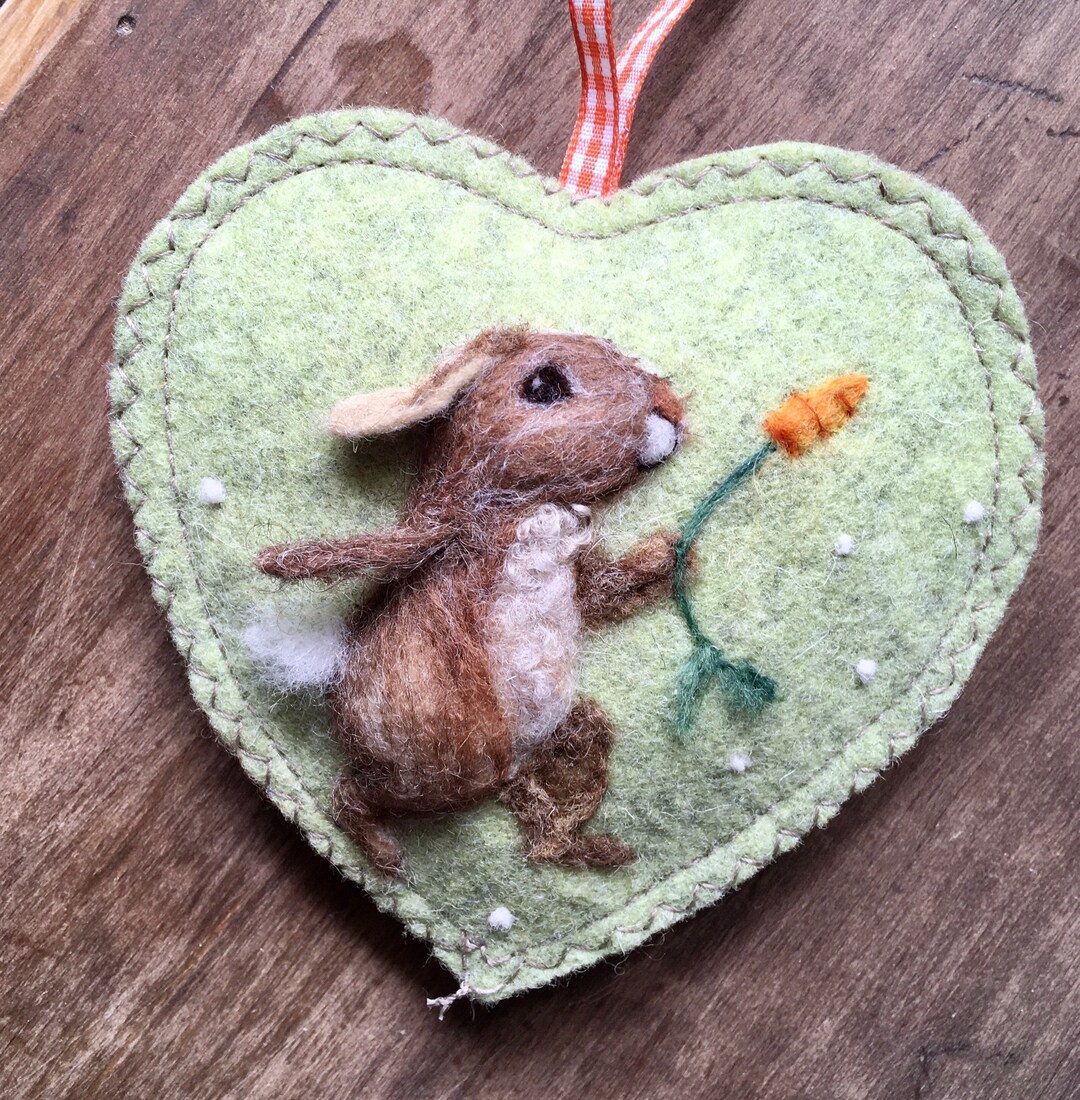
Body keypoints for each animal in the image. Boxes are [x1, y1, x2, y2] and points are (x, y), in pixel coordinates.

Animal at [256, 326, 687, 879]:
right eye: (544, 385)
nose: (670, 407)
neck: (516, 512)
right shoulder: (444, 542)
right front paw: (278, 562)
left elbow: (604, 591)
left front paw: (672, 556)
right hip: (443, 770)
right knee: (351, 792)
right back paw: (386, 855)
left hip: (553, 744)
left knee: (548, 821)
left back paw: (592, 850)